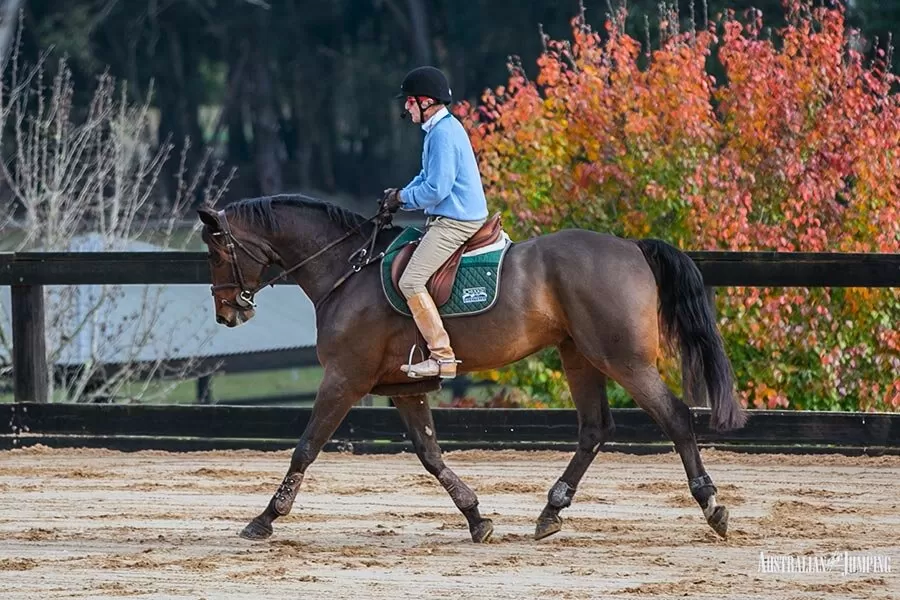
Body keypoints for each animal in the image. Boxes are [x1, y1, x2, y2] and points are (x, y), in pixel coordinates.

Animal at [197, 195, 744, 548]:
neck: (346, 271)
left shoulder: (343, 380)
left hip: (622, 359)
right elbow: (430, 455)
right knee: (595, 428)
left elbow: (305, 448)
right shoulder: (404, 388)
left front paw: (265, 519)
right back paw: (550, 512)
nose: (226, 313)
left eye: (217, 251)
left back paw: (712, 506)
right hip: (579, 355)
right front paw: (476, 518)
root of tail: (630, 246)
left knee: (675, 417)